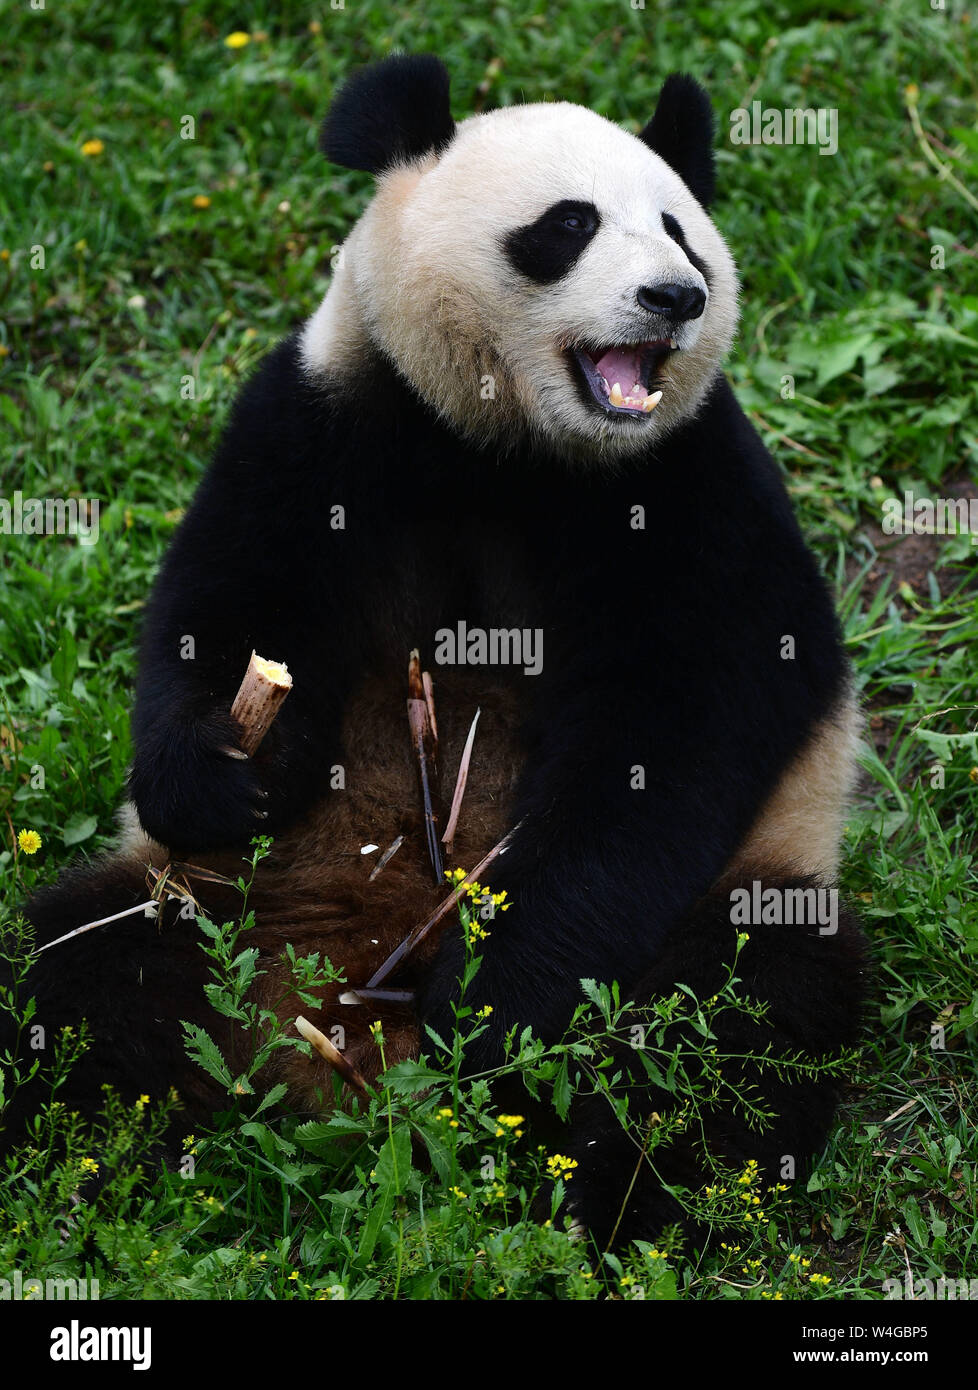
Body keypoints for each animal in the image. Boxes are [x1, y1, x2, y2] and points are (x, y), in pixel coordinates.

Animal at [7, 54, 867, 1249]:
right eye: (568, 224)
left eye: (681, 234)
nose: (676, 298)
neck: (515, 444)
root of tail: (349, 1058)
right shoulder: (334, 412)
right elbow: (230, 602)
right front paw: (218, 769)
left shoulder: (694, 484)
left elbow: (685, 726)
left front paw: (499, 994)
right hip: (212, 904)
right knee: (76, 971)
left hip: (744, 893)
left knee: (732, 1021)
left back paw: (603, 1188)